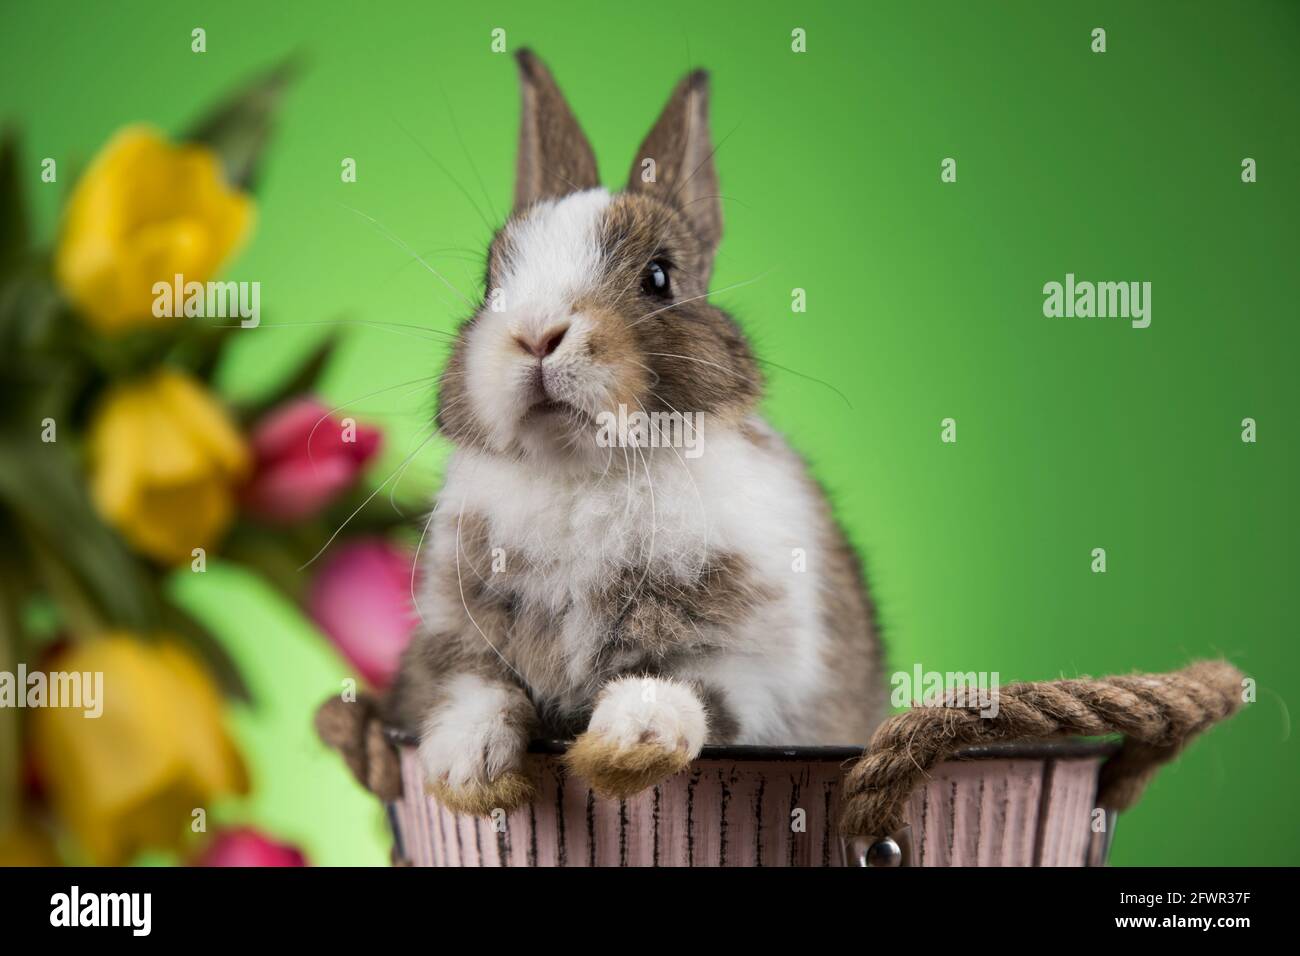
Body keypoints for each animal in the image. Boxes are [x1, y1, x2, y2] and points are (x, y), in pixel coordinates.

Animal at [385, 49, 885, 815]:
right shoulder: (454, 638)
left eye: (658, 276)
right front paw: (465, 771)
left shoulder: (757, 667)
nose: (536, 335)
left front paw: (626, 746)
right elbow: (479, 687)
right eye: (489, 279)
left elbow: (686, 687)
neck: (581, 474)